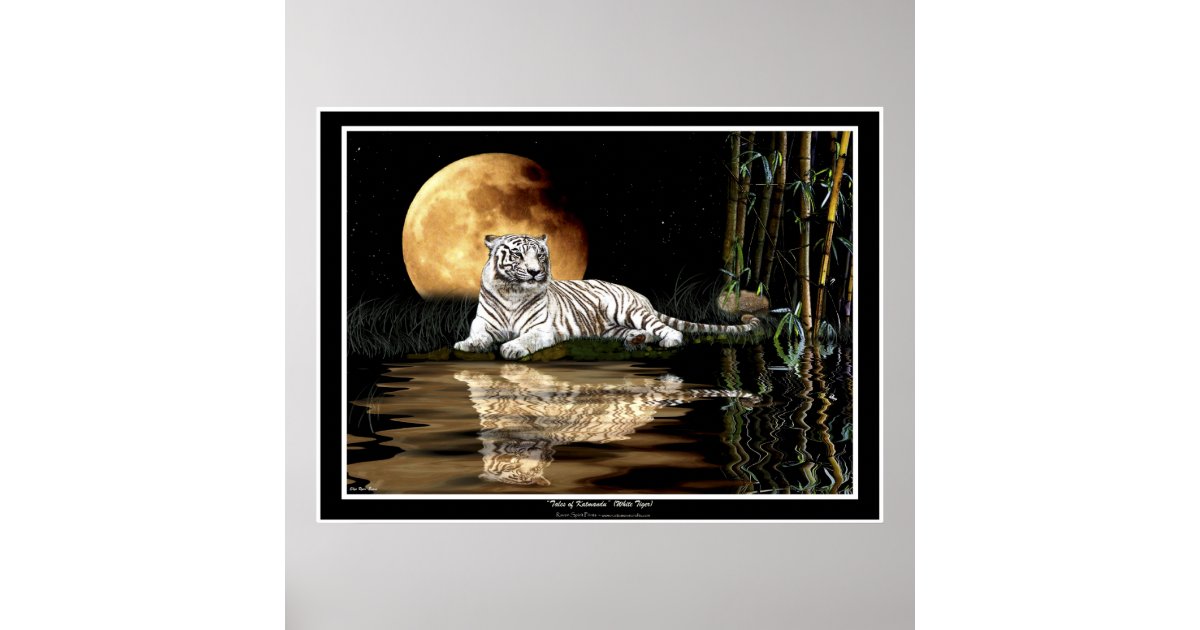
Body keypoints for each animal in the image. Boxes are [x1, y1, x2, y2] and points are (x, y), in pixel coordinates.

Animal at [453, 234, 760, 359]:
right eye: (517, 254)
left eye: (540, 255)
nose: (534, 272)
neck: (513, 292)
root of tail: (640, 295)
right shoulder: (483, 321)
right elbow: (477, 332)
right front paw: (468, 344)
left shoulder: (541, 328)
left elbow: (525, 338)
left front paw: (512, 348)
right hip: (611, 327)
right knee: (638, 332)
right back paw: (636, 339)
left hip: (625, 310)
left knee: (668, 330)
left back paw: (667, 341)